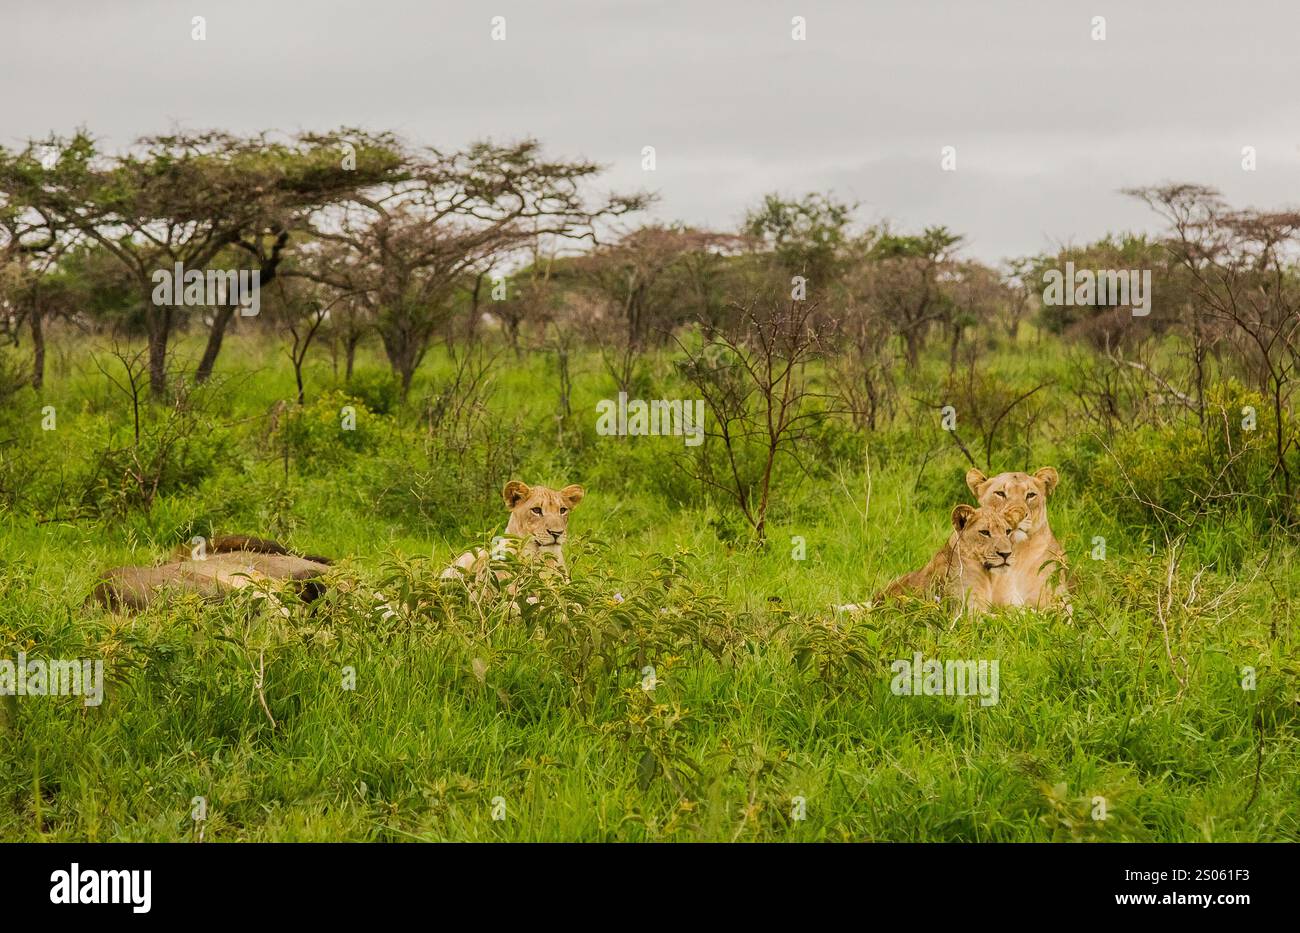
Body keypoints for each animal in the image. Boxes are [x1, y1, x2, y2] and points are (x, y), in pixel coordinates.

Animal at [880, 503, 1027, 616]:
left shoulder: (1012, 603)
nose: (1006, 554)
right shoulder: (967, 612)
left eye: (1007, 531)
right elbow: (1006, 619)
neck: (991, 578)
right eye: (985, 532)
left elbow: (1026, 615)